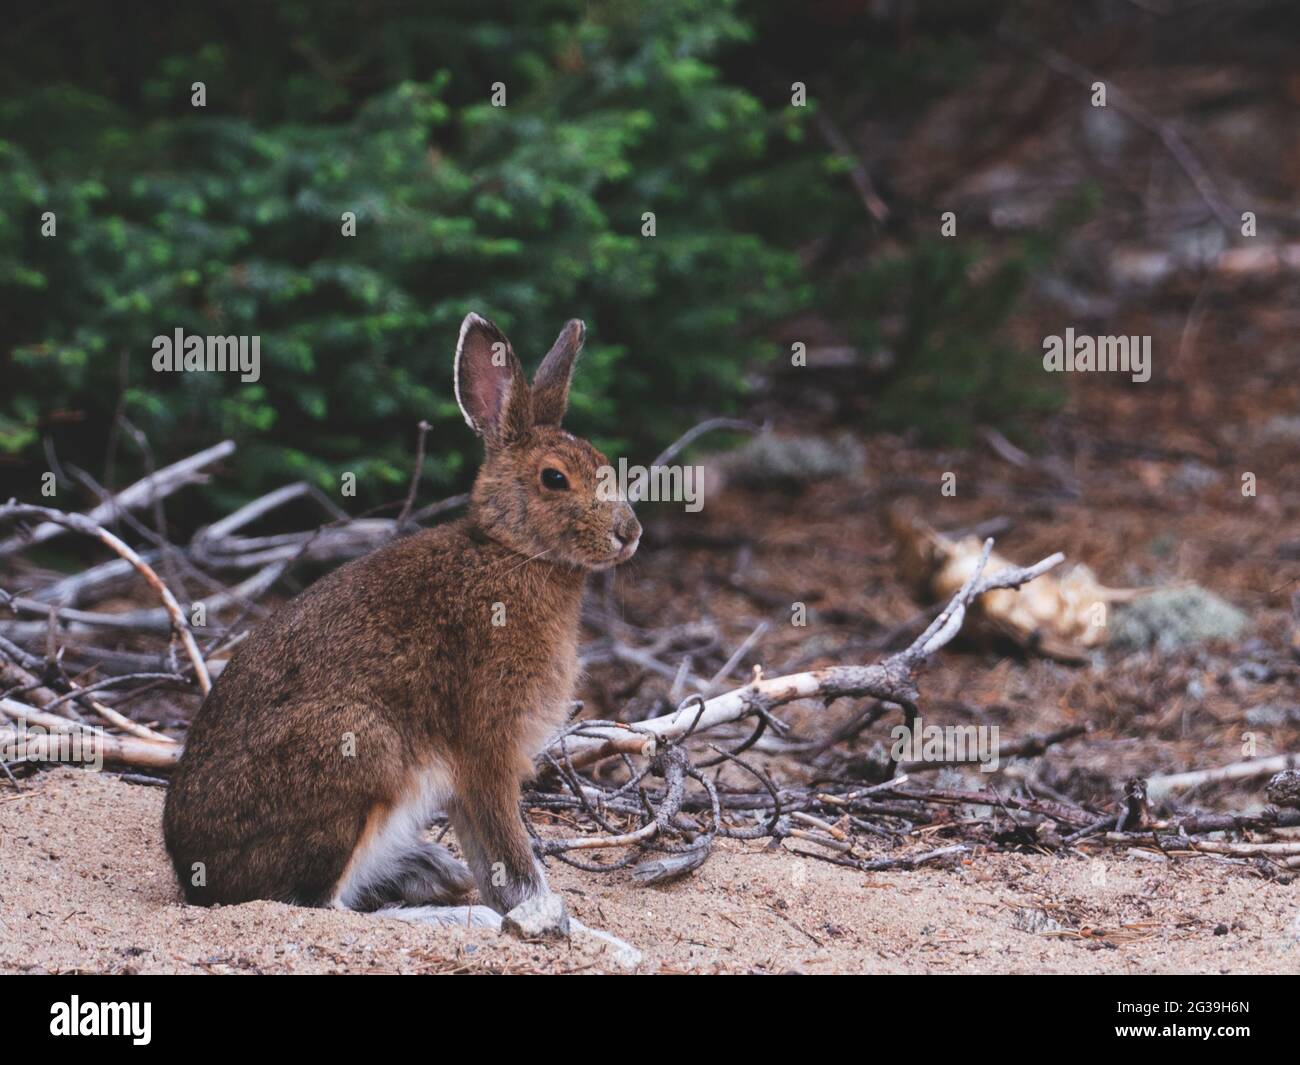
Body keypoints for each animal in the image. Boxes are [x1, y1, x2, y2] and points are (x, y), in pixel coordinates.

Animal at [163, 313, 642, 934]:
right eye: (554, 479)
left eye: (605, 462)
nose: (629, 533)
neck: (510, 551)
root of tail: (197, 876)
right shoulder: (488, 749)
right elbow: (515, 860)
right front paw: (556, 922)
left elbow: (493, 868)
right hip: (361, 752)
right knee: (318, 904)